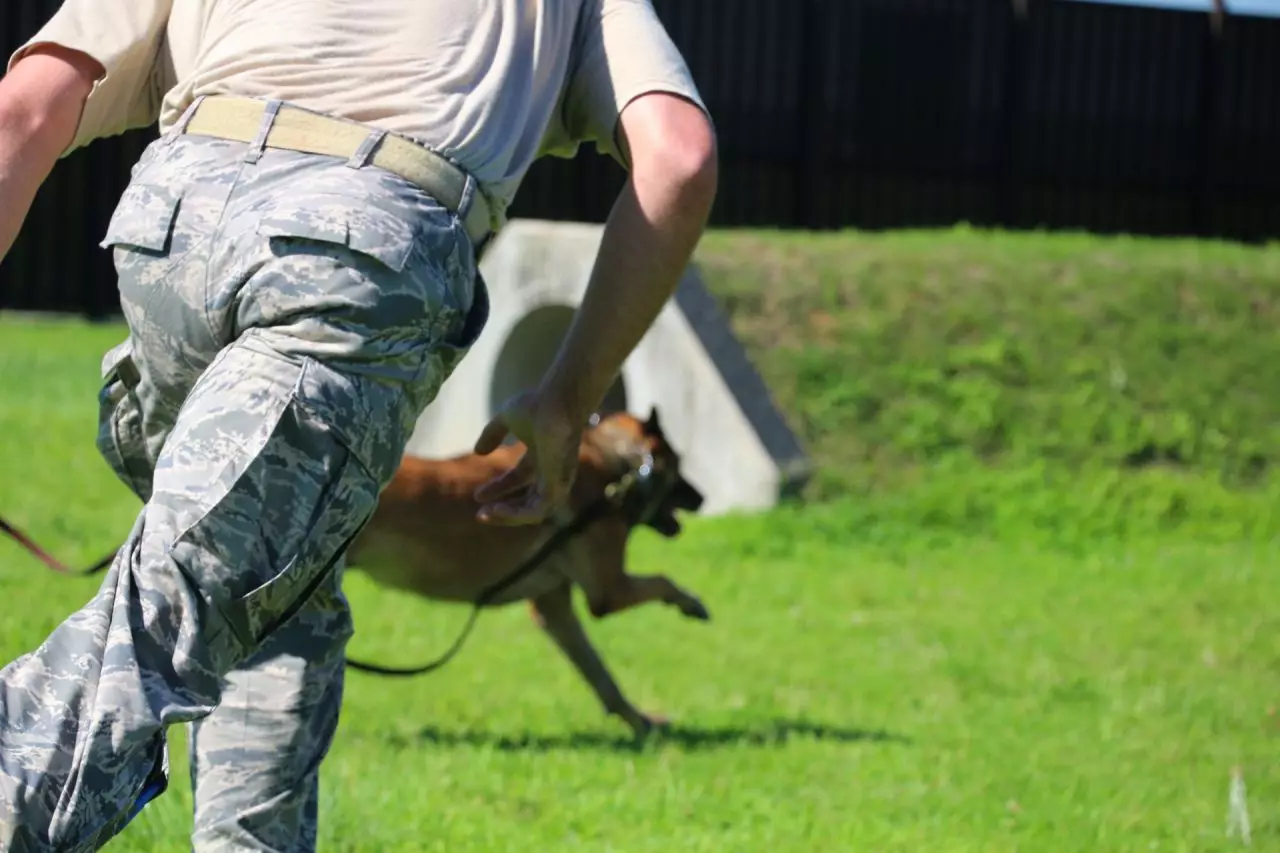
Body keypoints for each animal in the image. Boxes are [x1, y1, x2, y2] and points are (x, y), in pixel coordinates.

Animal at [345, 407, 711, 737]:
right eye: (678, 463)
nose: (702, 498)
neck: (619, 465)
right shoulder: (609, 591)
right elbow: (663, 581)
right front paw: (692, 604)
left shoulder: (553, 607)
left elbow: (600, 673)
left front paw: (641, 722)